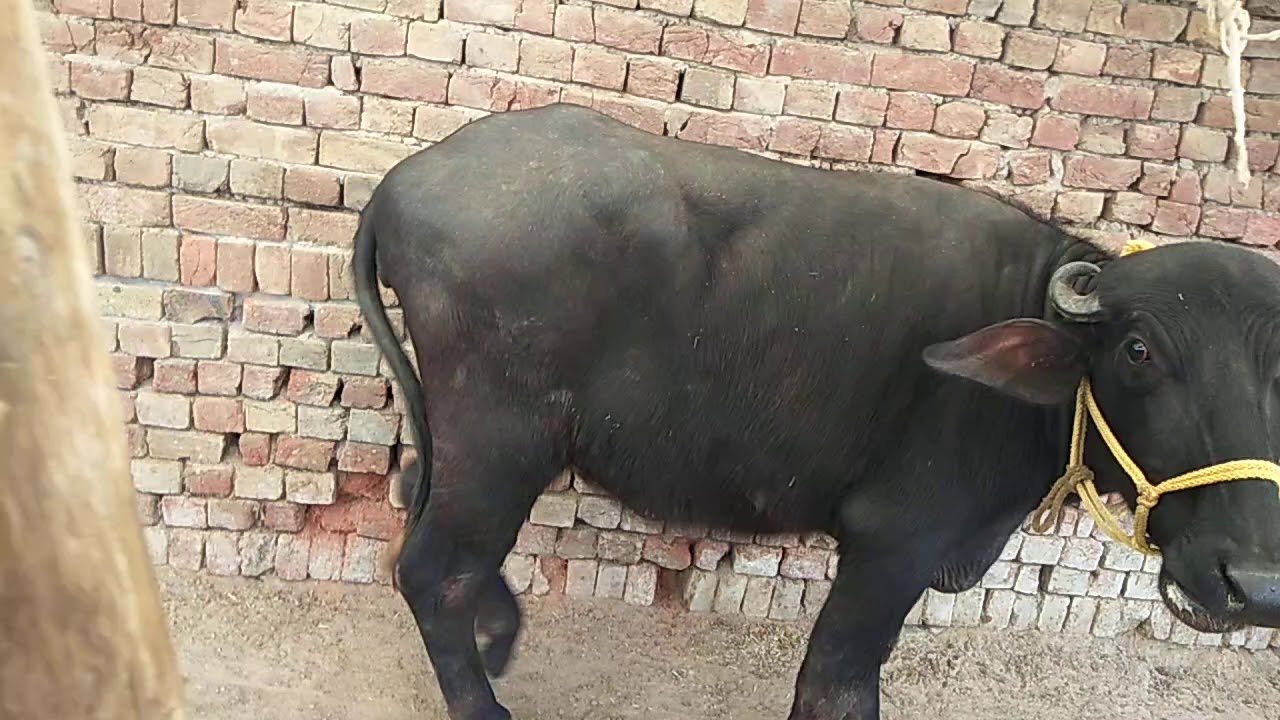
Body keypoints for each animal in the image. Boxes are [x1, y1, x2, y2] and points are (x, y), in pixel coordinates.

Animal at [353, 103, 1280, 720]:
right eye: (1139, 351)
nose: (1254, 586)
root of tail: (400, 186)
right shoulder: (892, 544)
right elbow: (836, 684)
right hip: (499, 445)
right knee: (433, 571)